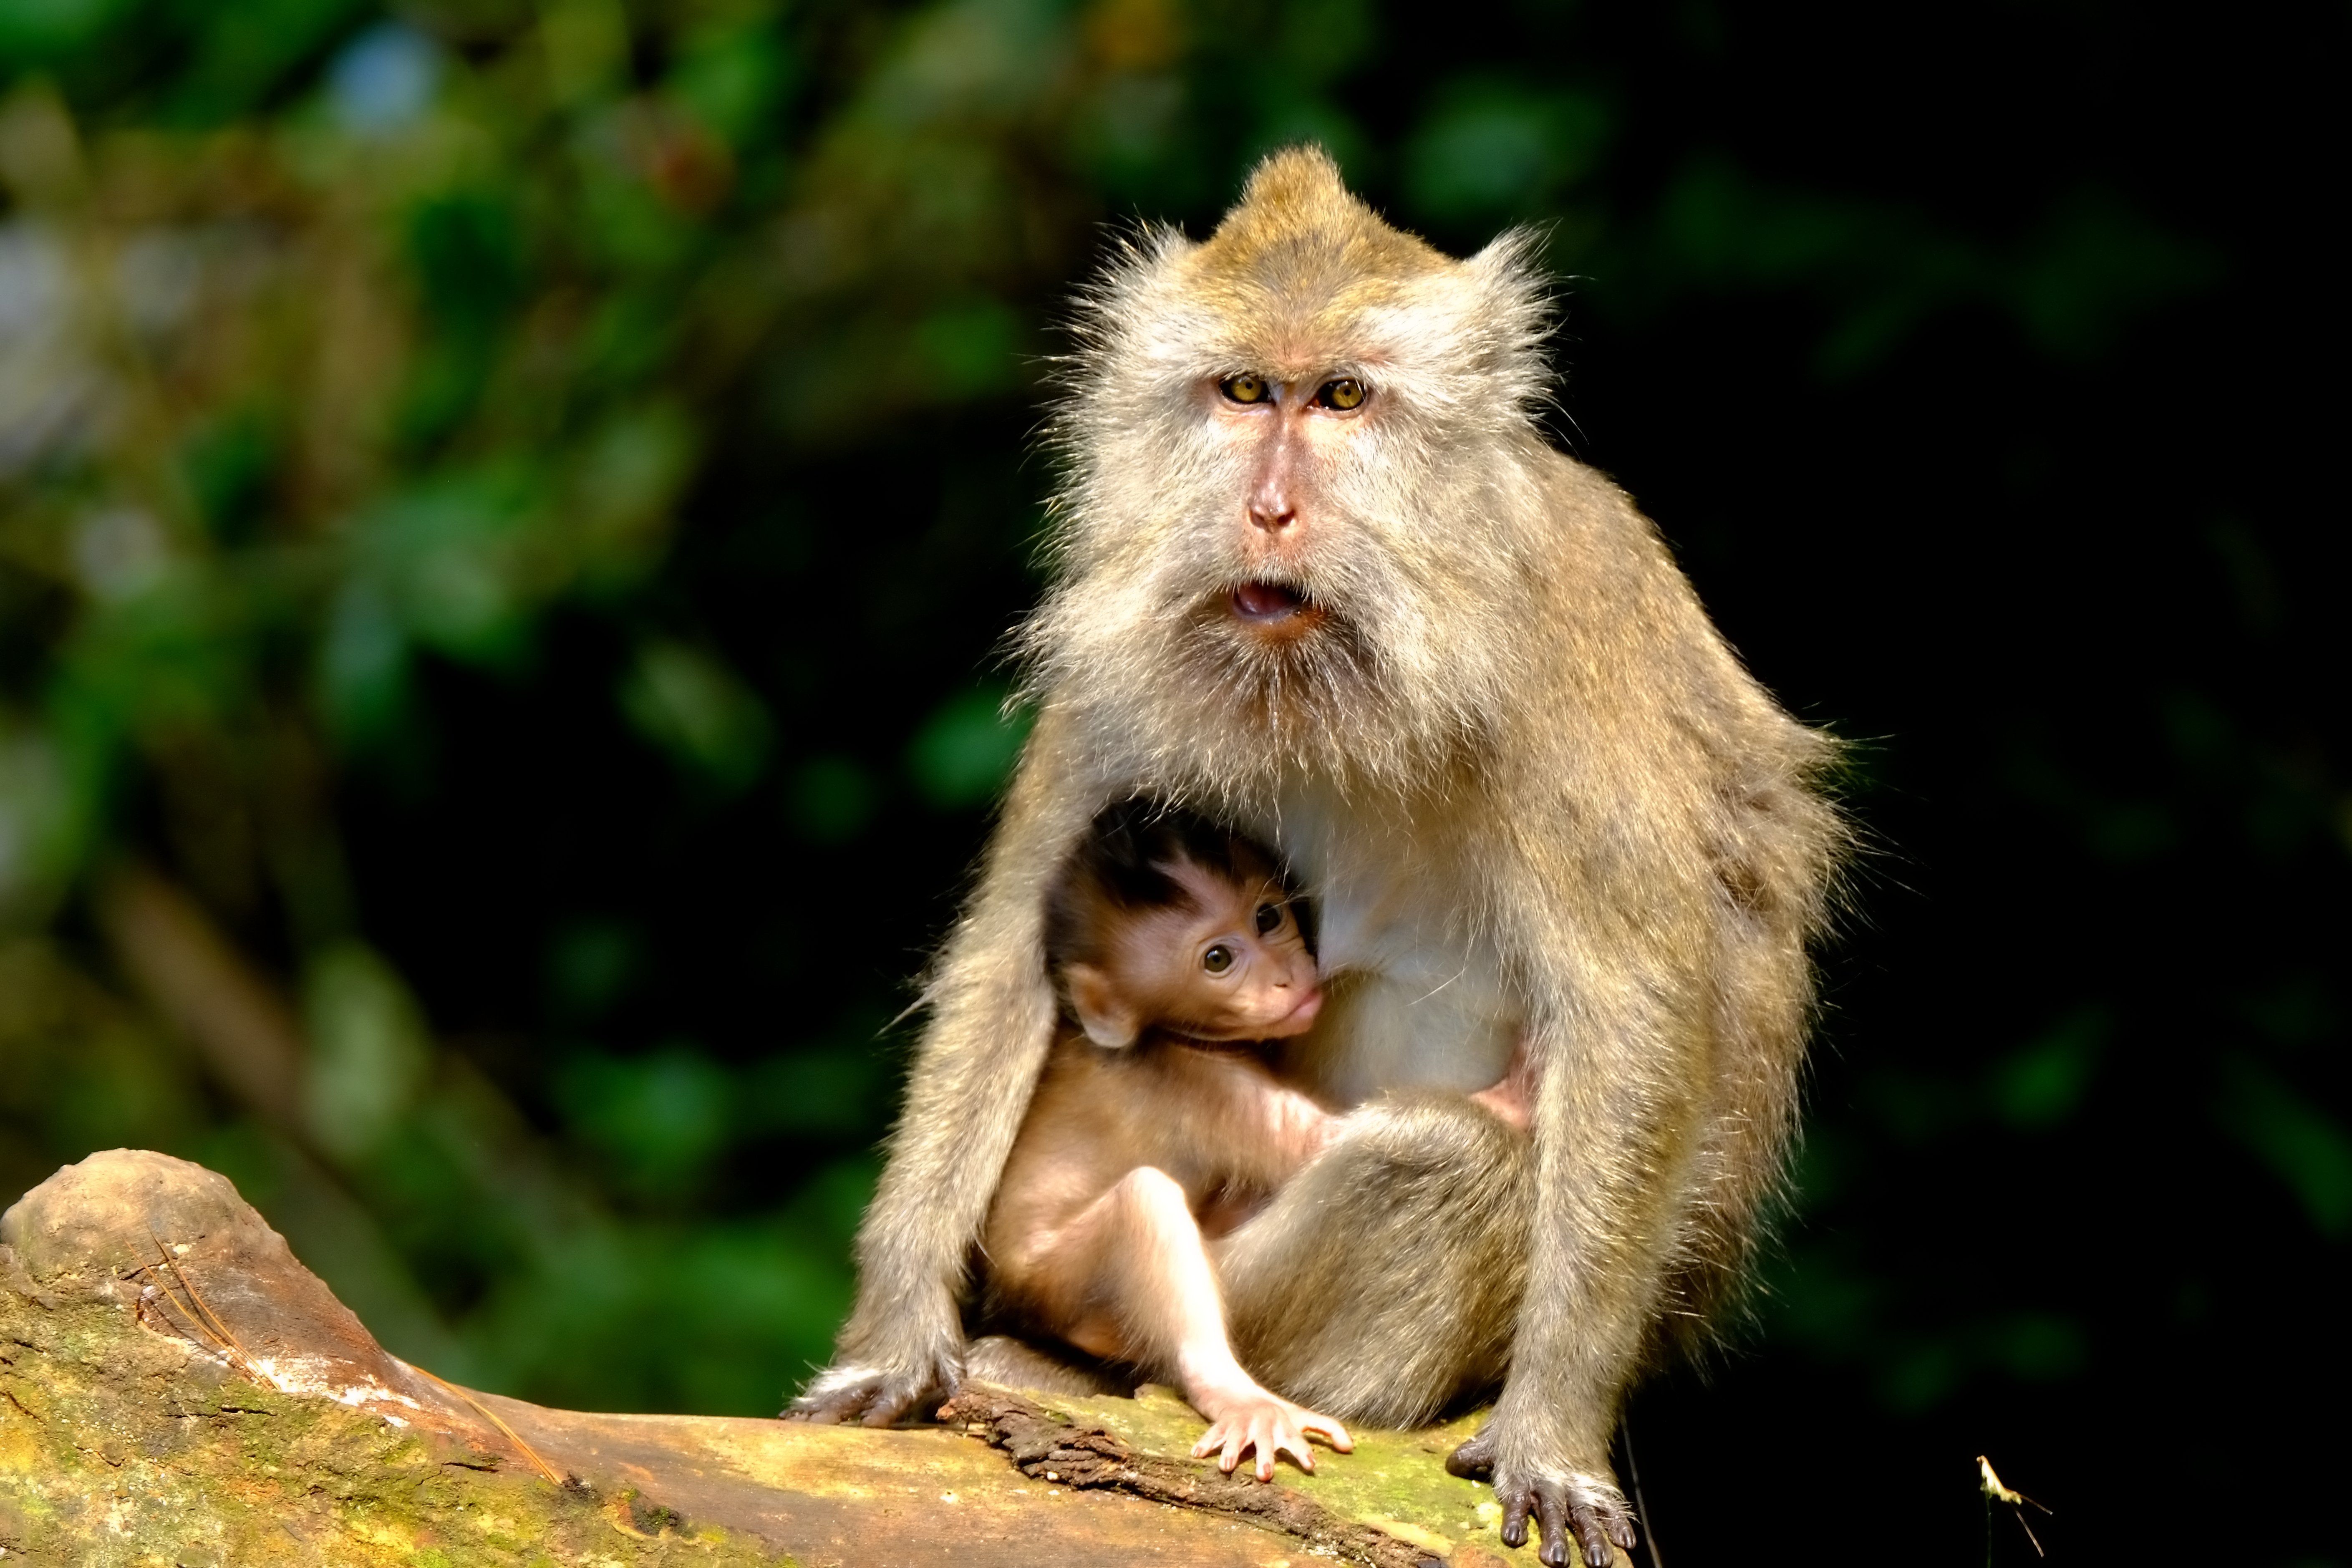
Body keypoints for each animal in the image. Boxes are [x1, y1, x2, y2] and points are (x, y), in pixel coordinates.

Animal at [977, 797, 1355, 1481]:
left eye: (1267, 917)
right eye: (1217, 960)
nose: (1286, 978)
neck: (1177, 1033)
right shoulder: (1203, 1085)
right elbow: (1321, 1141)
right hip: (1056, 1286)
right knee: (1145, 1203)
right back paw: (1237, 1396)